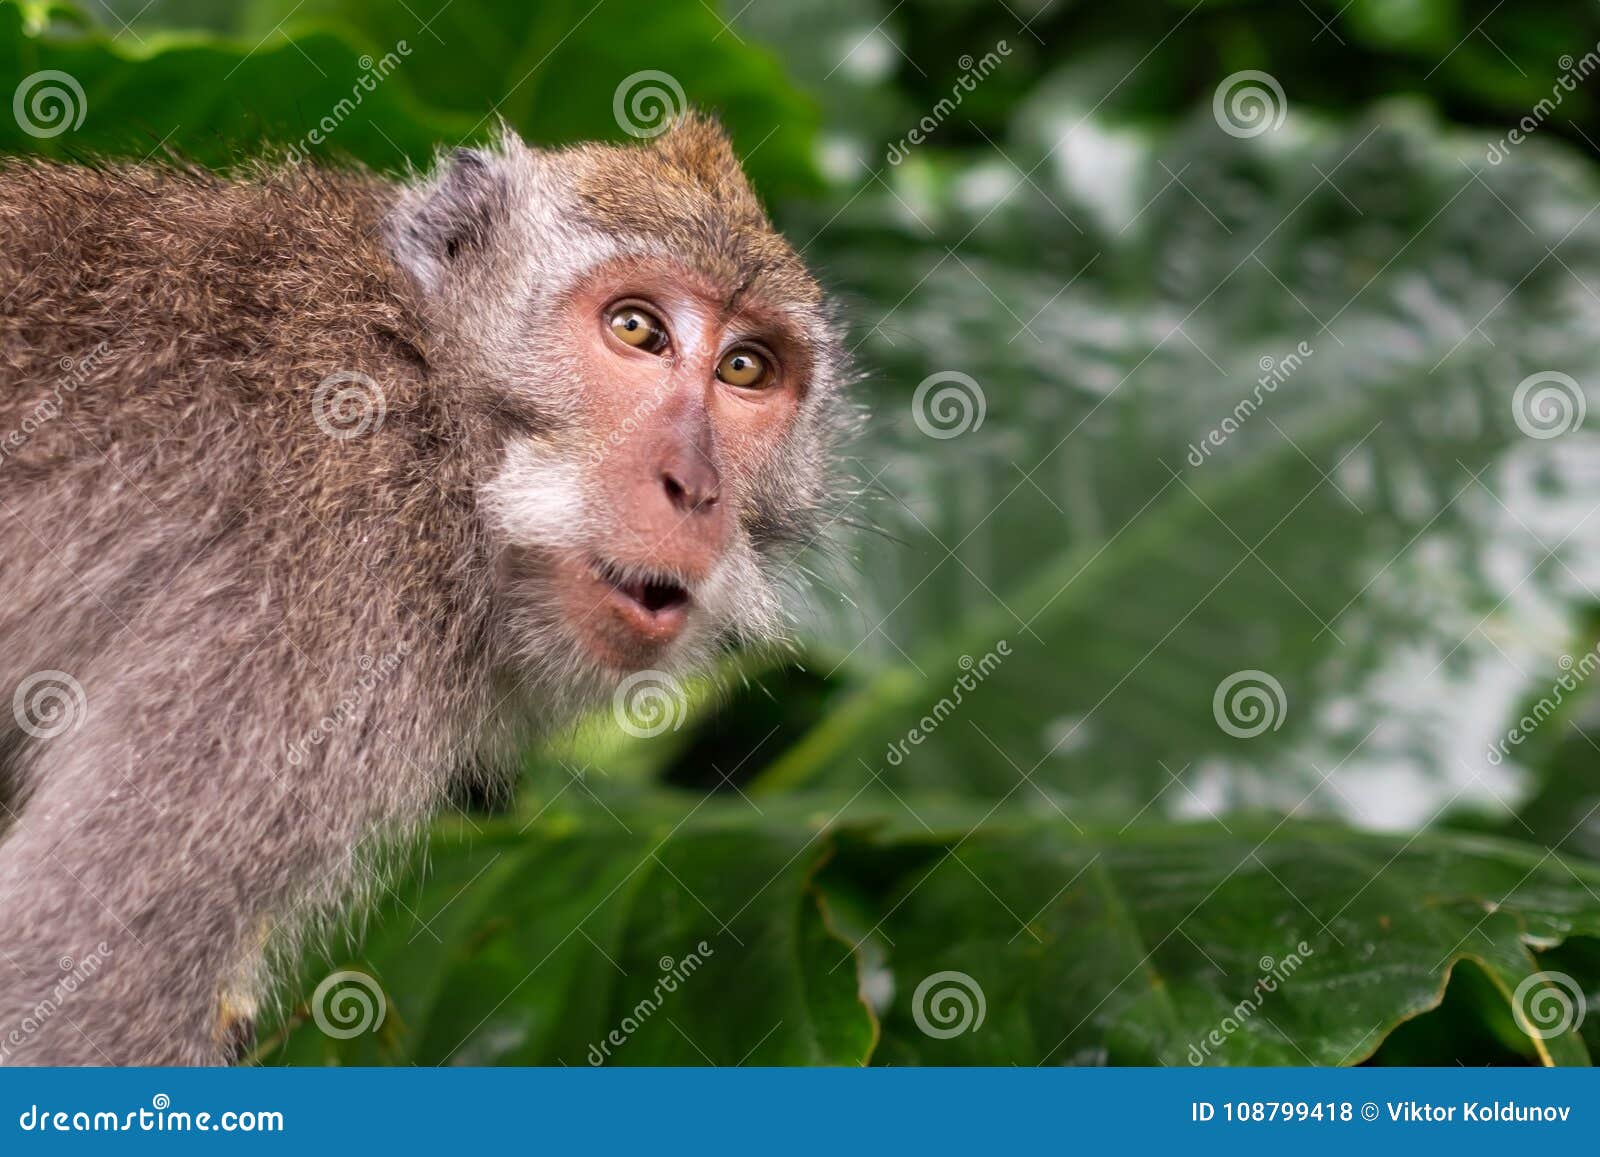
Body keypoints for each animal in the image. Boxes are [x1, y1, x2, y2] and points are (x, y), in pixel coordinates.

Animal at [0, 112, 854, 1064]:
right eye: (637, 329)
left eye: (746, 369)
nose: (694, 488)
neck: (434, 387)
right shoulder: (338, 583)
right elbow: (65, 982)